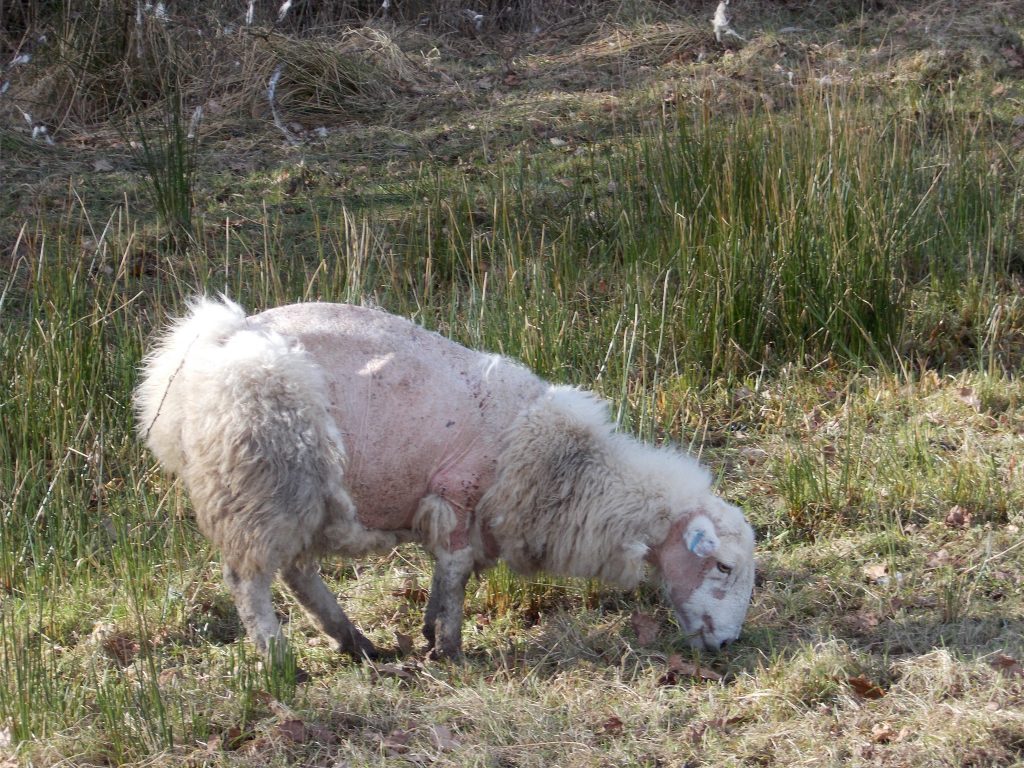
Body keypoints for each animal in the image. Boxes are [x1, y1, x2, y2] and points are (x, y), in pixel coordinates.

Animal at [135, 297, 755, 670]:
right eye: (724, 567)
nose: (728, 645)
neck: (566, 468)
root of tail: (209, 343)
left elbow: (444, 576)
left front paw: (432, 632)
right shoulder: (459, 495)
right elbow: (454, 574)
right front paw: (452, 648)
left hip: (295, 492)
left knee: (296, 571)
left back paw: (354, 642)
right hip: (263, 478)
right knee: (250, 580)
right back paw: (281, 662)